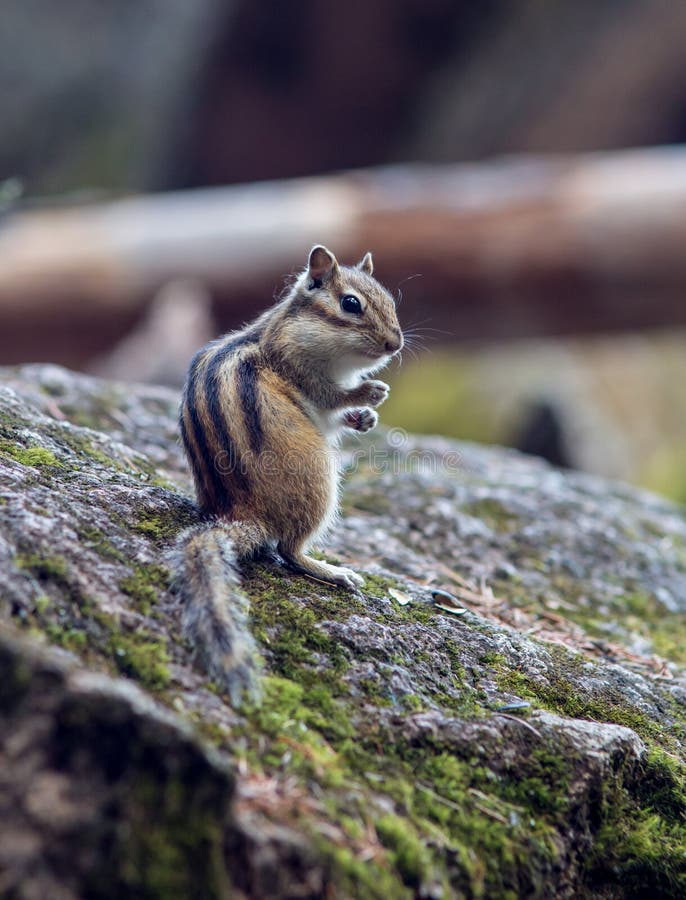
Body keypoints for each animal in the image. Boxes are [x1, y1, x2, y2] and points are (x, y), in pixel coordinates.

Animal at [172, 244, 403, 703]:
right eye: (351, 304)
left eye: (390, 299)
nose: (395, 343)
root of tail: (242, 516)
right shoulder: (302, 371)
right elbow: (330, 399)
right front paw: (368, 393)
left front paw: (365, 418)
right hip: (319, 485)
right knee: (289, 550)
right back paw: (334, 572)